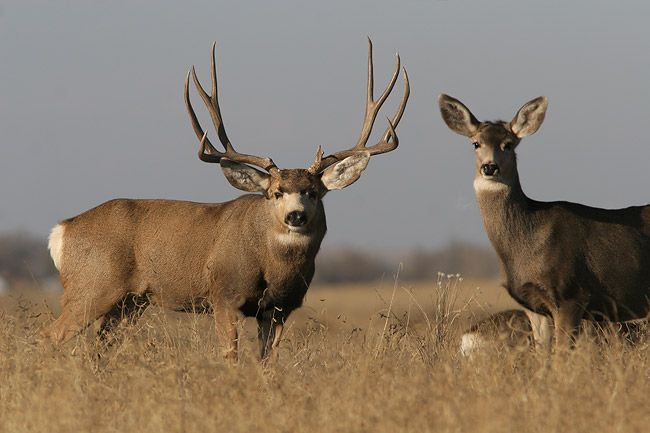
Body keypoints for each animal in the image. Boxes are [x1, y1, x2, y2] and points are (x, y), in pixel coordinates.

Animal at [43, 40, 409, 361]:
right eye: (275, 192)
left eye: (313, 192)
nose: (295, 216)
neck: (271, 263)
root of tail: (62, 231)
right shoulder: (223, 296)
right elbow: (230, 356)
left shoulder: (279, 309)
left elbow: (266, 362)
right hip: (90, 287)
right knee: (49, 336)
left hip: (129, 302)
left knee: (96, 347)